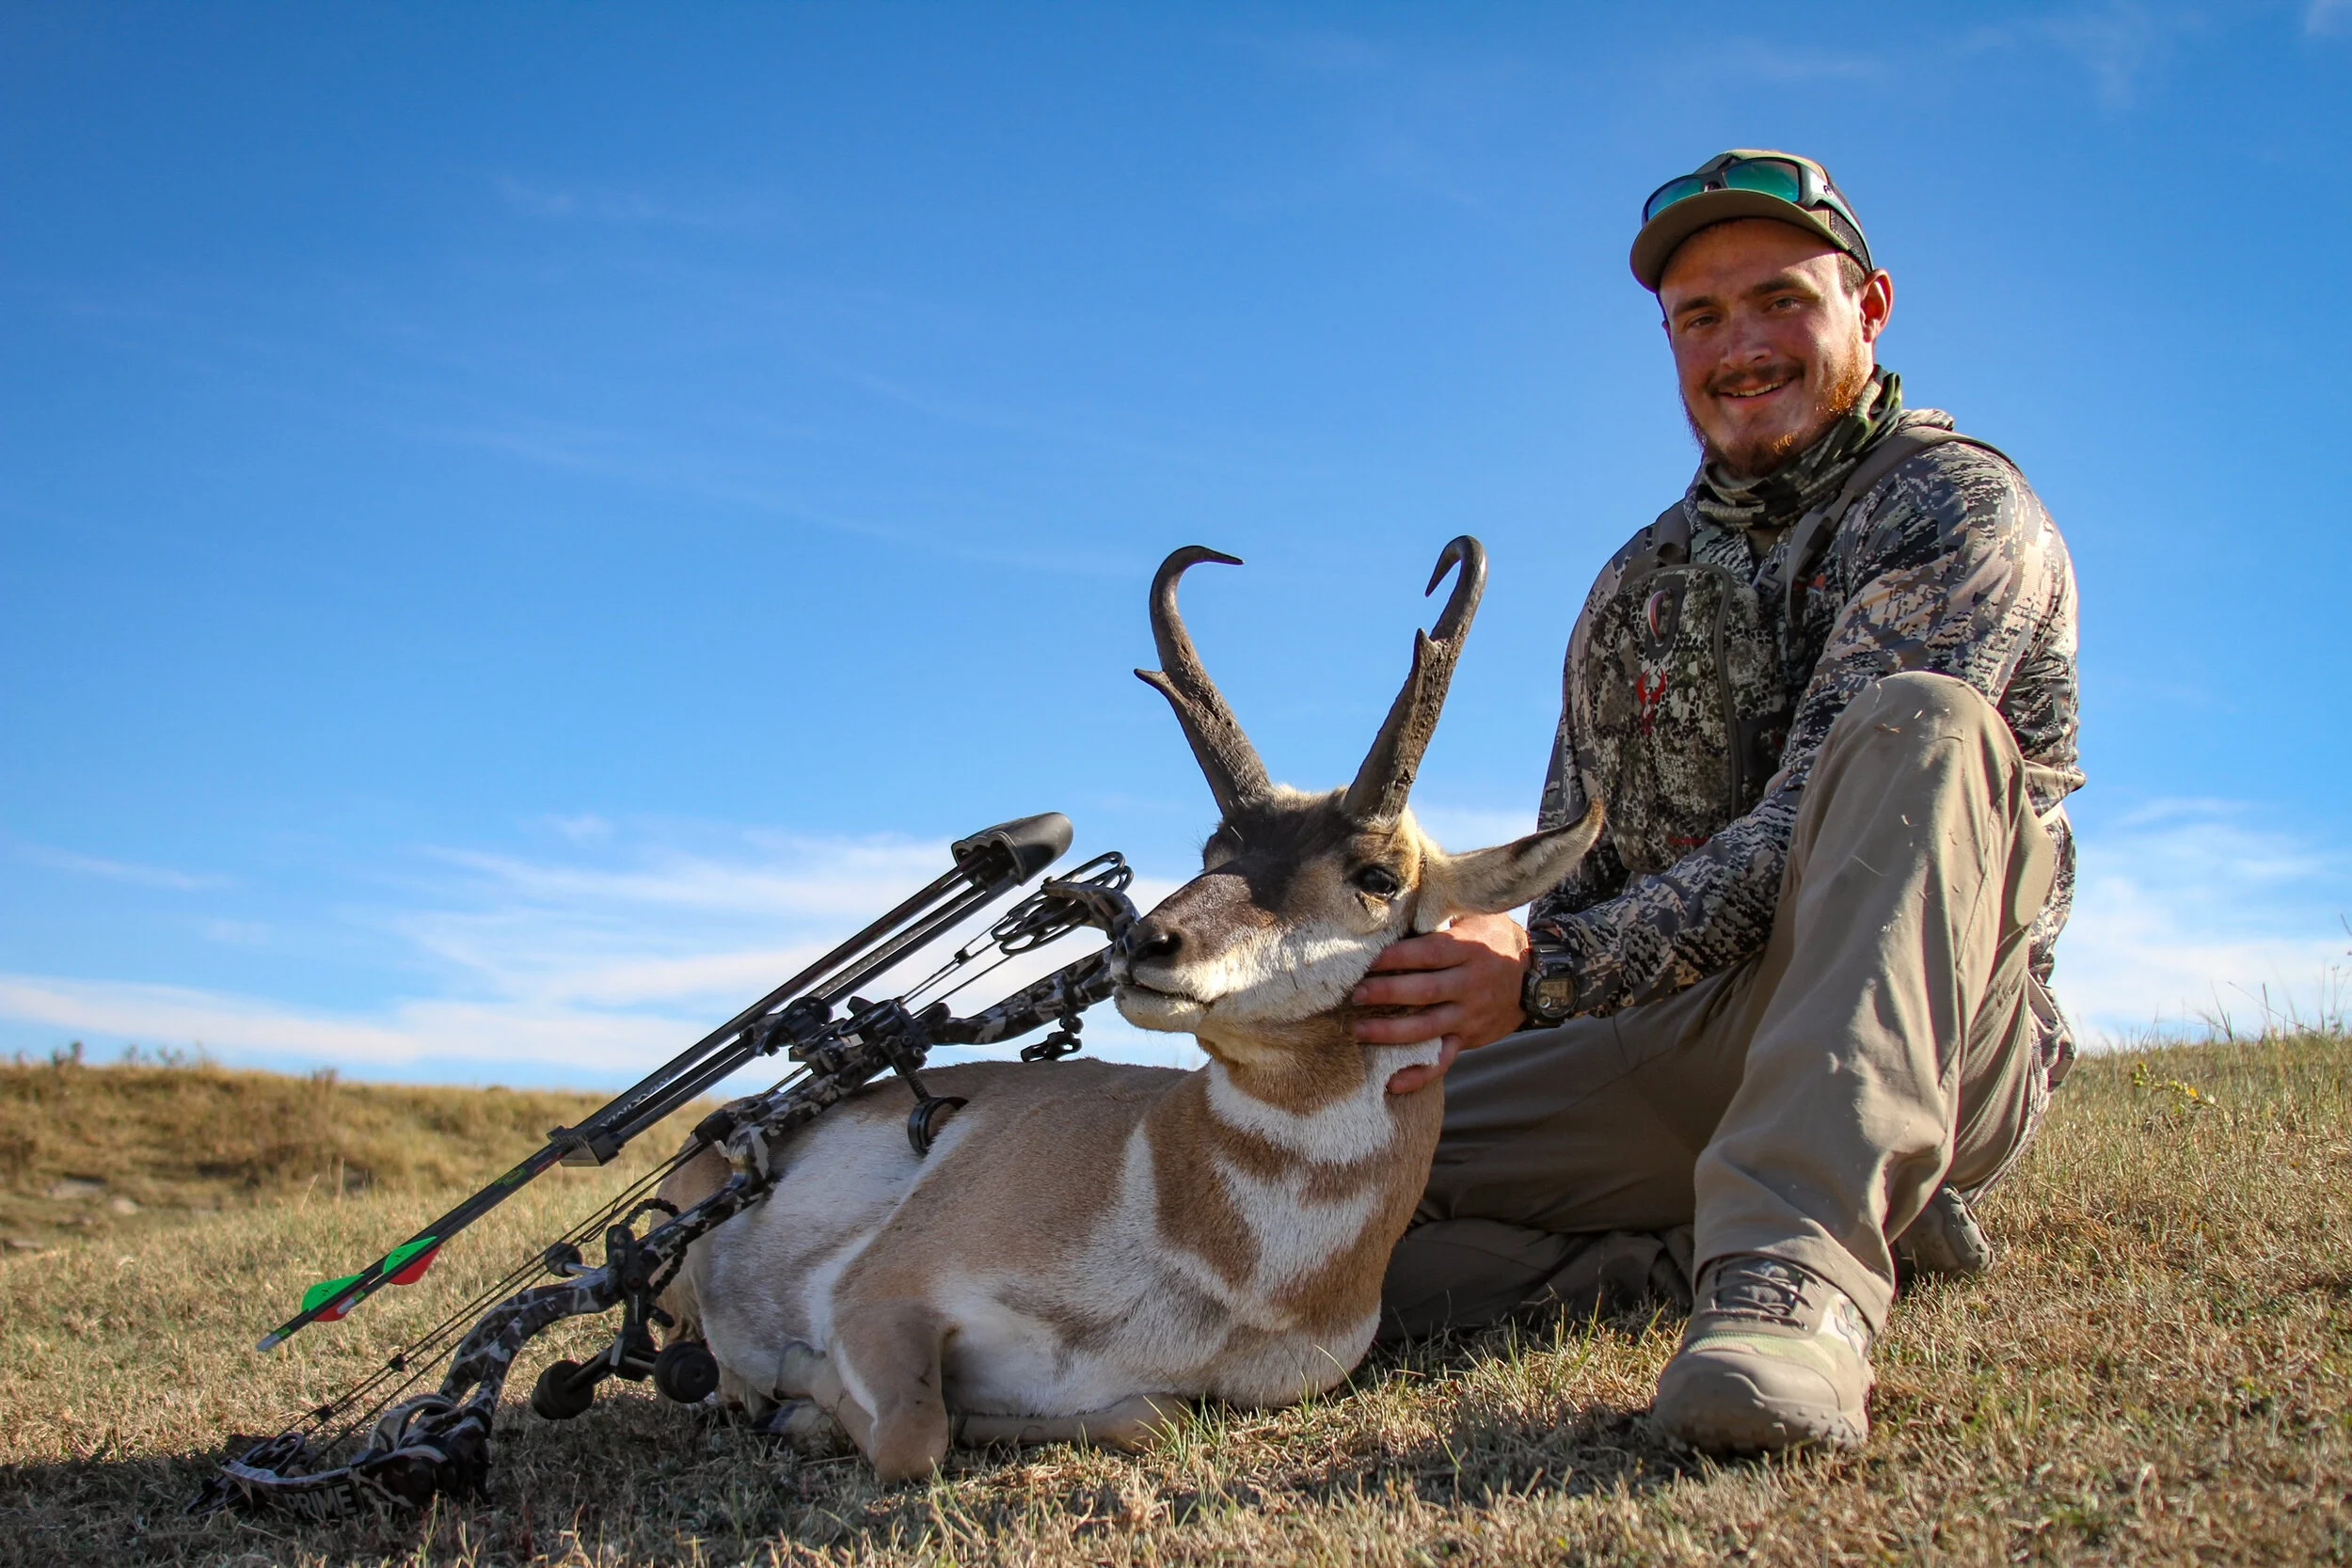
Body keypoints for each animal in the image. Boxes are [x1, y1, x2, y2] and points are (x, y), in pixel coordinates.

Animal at [657, 538, 1603, 1481]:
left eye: (1376, 876)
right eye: (1215, 849)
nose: (1146, 941)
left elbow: (1152, 1416)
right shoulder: (879, 1298)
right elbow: (915, 1436)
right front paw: (800, 1399)